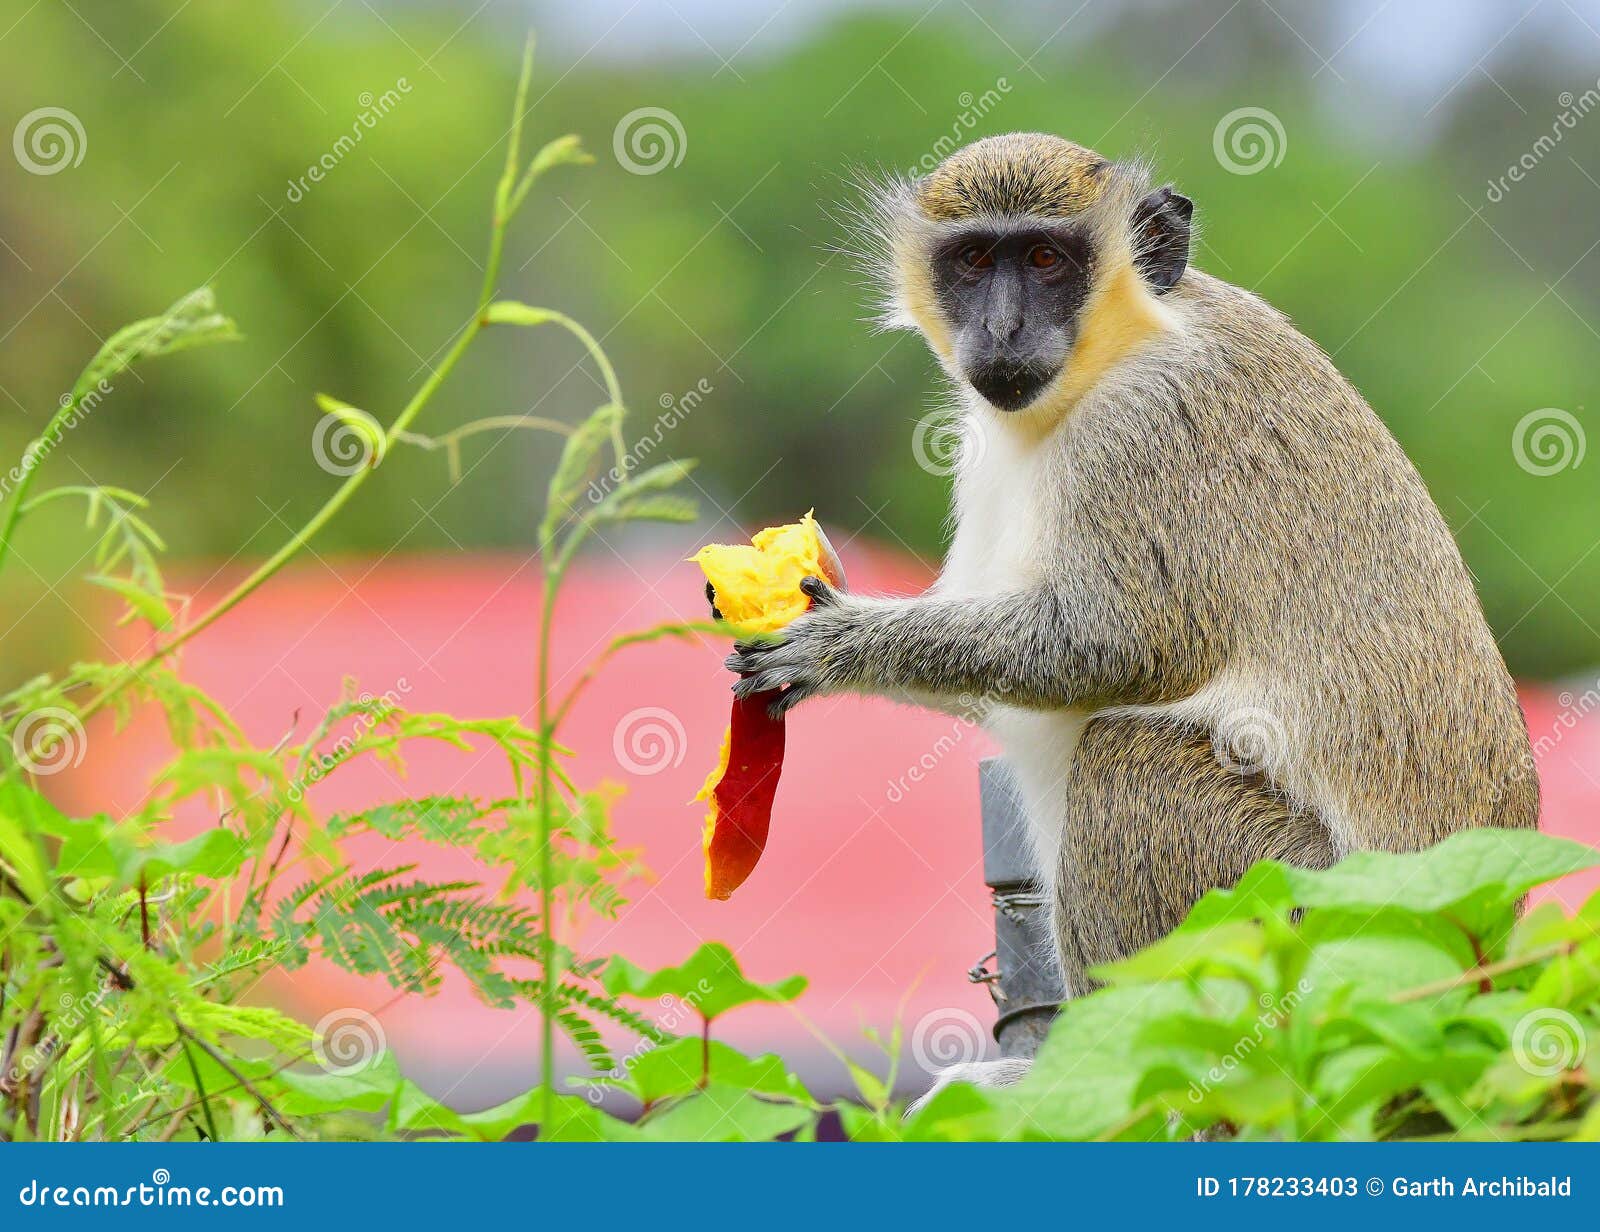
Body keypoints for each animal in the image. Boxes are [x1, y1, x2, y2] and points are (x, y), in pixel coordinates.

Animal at [722, 132, 1540, 1102]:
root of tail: (1486, 948)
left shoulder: (1148, 425)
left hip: (1320, 919)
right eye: (974, 260)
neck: (1121, 346)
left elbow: (1117, 647)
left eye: (1045, 259)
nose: (1002, 331)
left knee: (1128, 756)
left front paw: (838, 644)